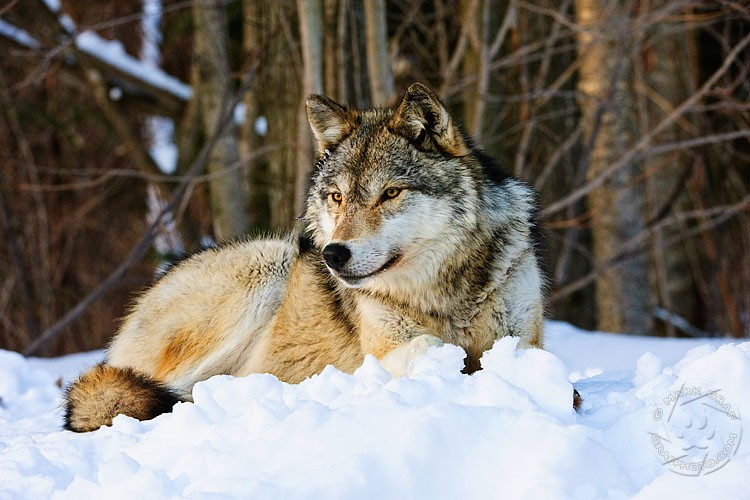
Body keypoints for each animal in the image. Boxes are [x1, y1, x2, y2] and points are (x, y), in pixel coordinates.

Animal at [63, 83, 546, 432]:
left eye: (390, 193)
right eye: (337, 197)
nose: (334, 254)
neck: (446, 293)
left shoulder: (524, 337)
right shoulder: (388, 344)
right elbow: (435, 347)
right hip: (267, 264)